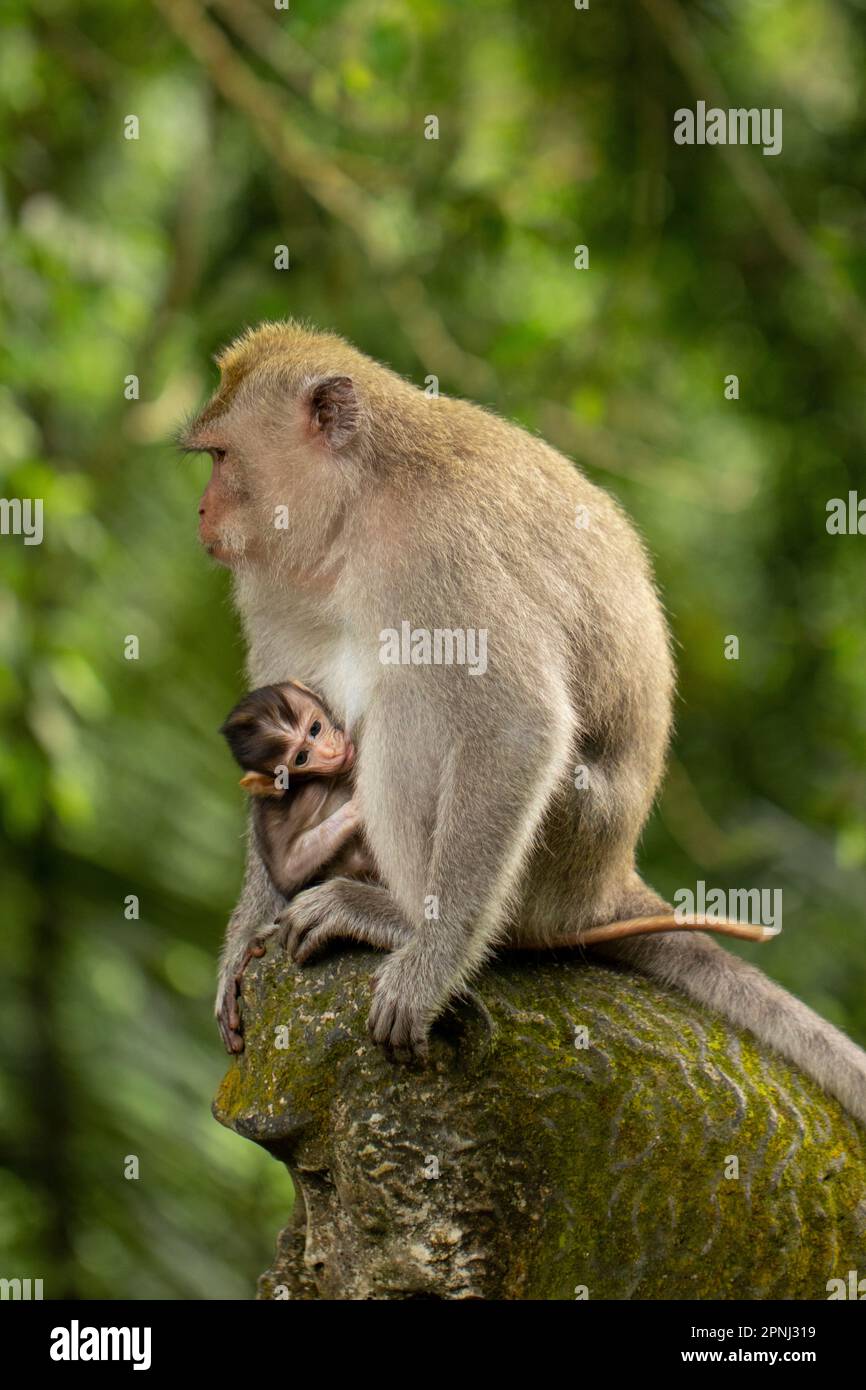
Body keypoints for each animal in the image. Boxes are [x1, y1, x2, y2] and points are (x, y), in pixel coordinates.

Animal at [181, 320, 866, 1126]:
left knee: (418, 705)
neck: (358, 509)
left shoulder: (442, 547)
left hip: (557, 849)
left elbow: (517, 723)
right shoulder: (276, 574)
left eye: (222, 458)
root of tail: (606, 881)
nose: (201, 511)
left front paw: (429, 963)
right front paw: (242, 935)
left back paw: (393, 917)